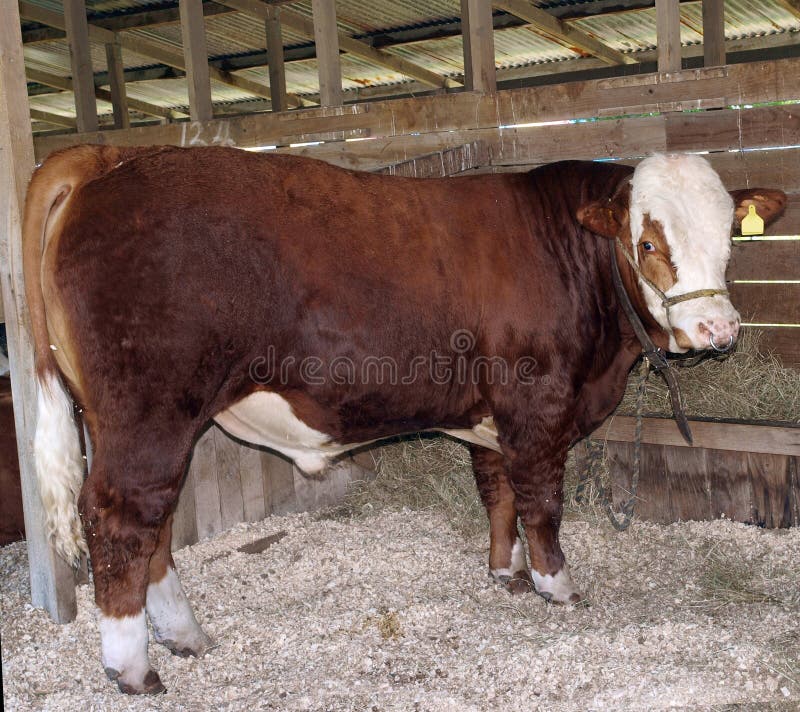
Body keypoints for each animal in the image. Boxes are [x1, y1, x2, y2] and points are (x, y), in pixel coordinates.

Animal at [22, 145, 785, 694]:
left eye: (728, 237)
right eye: (649, 243)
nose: (718, 329)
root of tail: (114, 158)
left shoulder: (491, 417)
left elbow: (498, 493)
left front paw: (504, 573)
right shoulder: (538, 405)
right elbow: (541, 502)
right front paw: (557, 587)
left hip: (135, 422)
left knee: (154, 526)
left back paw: (184, 635)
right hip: (149, 413)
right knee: (123, 517)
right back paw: (133, 666)